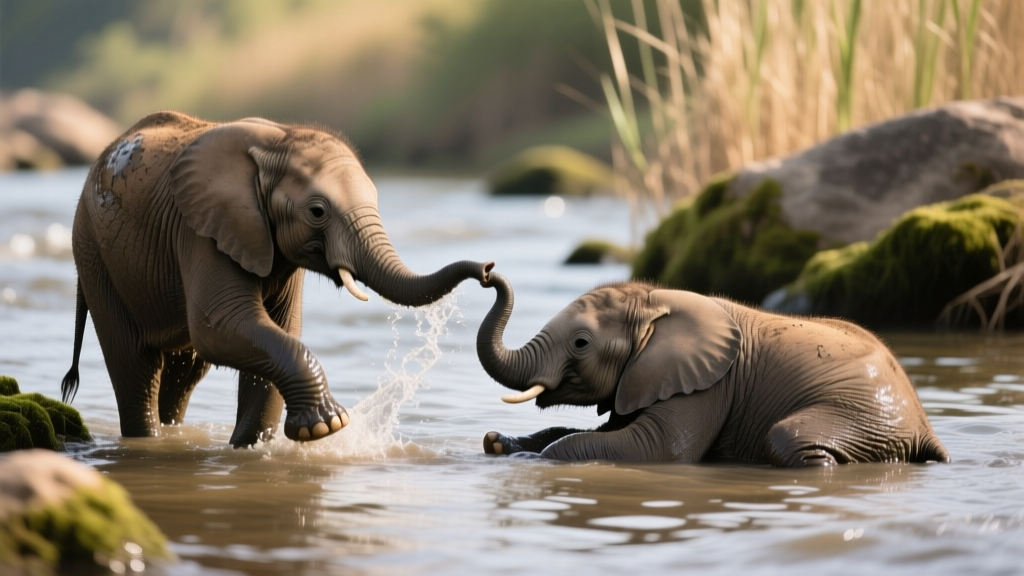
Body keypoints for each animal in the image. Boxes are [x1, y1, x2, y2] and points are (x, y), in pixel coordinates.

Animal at [60, 111, 492, 447]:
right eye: (317, 212)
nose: (489, 271)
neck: (280, 138)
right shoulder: (202, 231)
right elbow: (222, 327)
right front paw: (327, 427)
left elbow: (276, 329)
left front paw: (251, 448)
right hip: (94, 252)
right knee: (137, 363)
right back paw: (148, 440)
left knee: (183, 372)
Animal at [476, 273, 950, 466]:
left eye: (580, 343)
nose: (486, 271)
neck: (655, 300)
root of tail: (924, 426)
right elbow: (594, 431)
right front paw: (500, 443)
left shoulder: (708, 384)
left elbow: (658, 449)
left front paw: (534, 458)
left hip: (861, 413)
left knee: (787, 439)